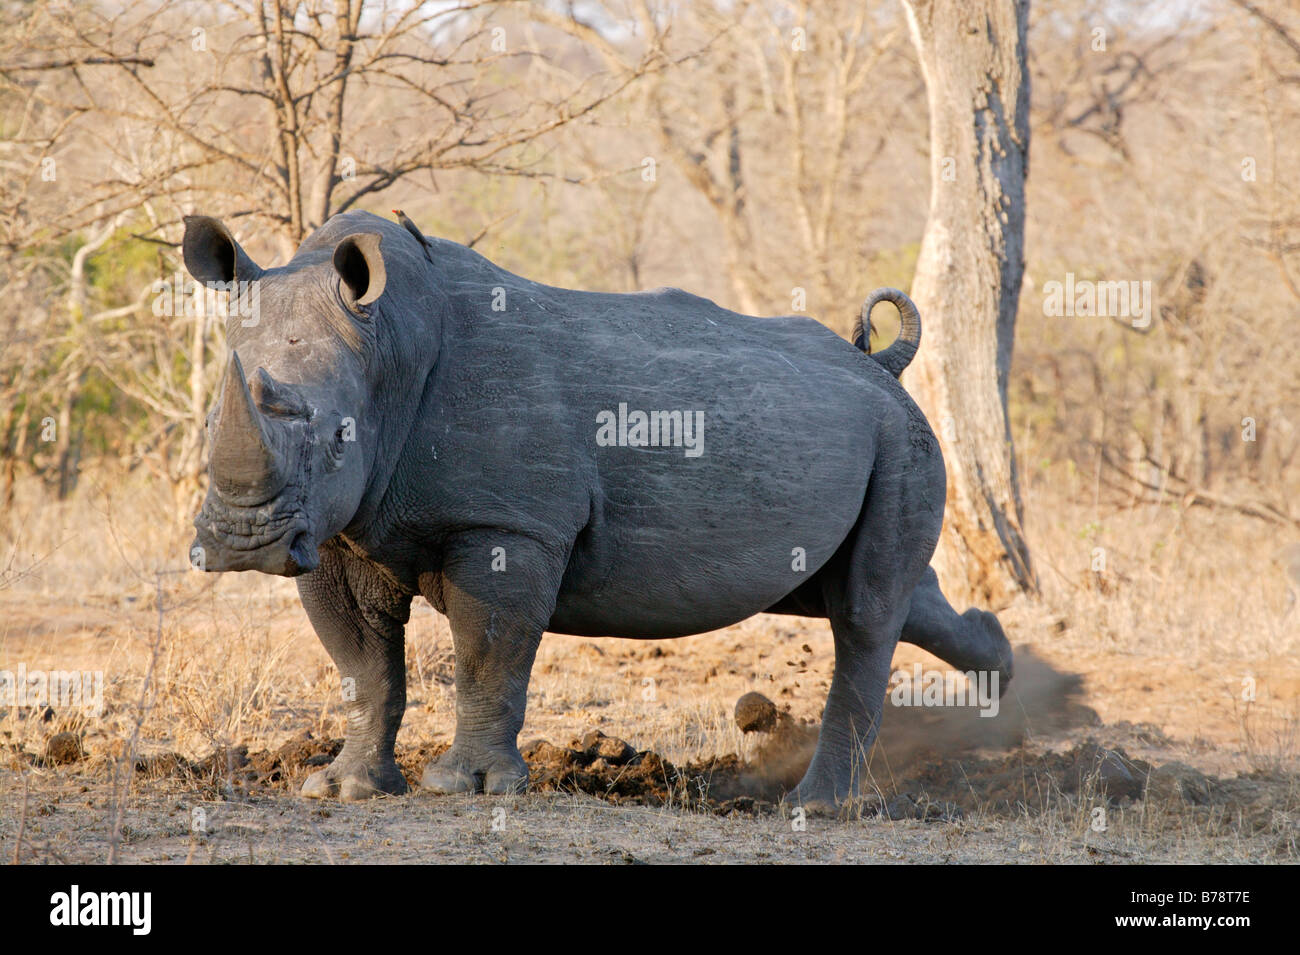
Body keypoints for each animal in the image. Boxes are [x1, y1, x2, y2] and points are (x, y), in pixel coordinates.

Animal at [184, 210, 1012, 813]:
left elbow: (486, 651)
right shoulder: (339, 533)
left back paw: (815, 807)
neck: (385, 344)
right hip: (860, 431)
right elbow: (362, 662)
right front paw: (342, 787)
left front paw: (466, 788)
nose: (244, 540)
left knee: (862, 613)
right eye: (213, 421)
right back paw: (1000, 669)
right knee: (853, 594)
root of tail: (880, 368)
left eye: (336, 436)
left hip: (899, 435)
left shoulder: (510, 523)